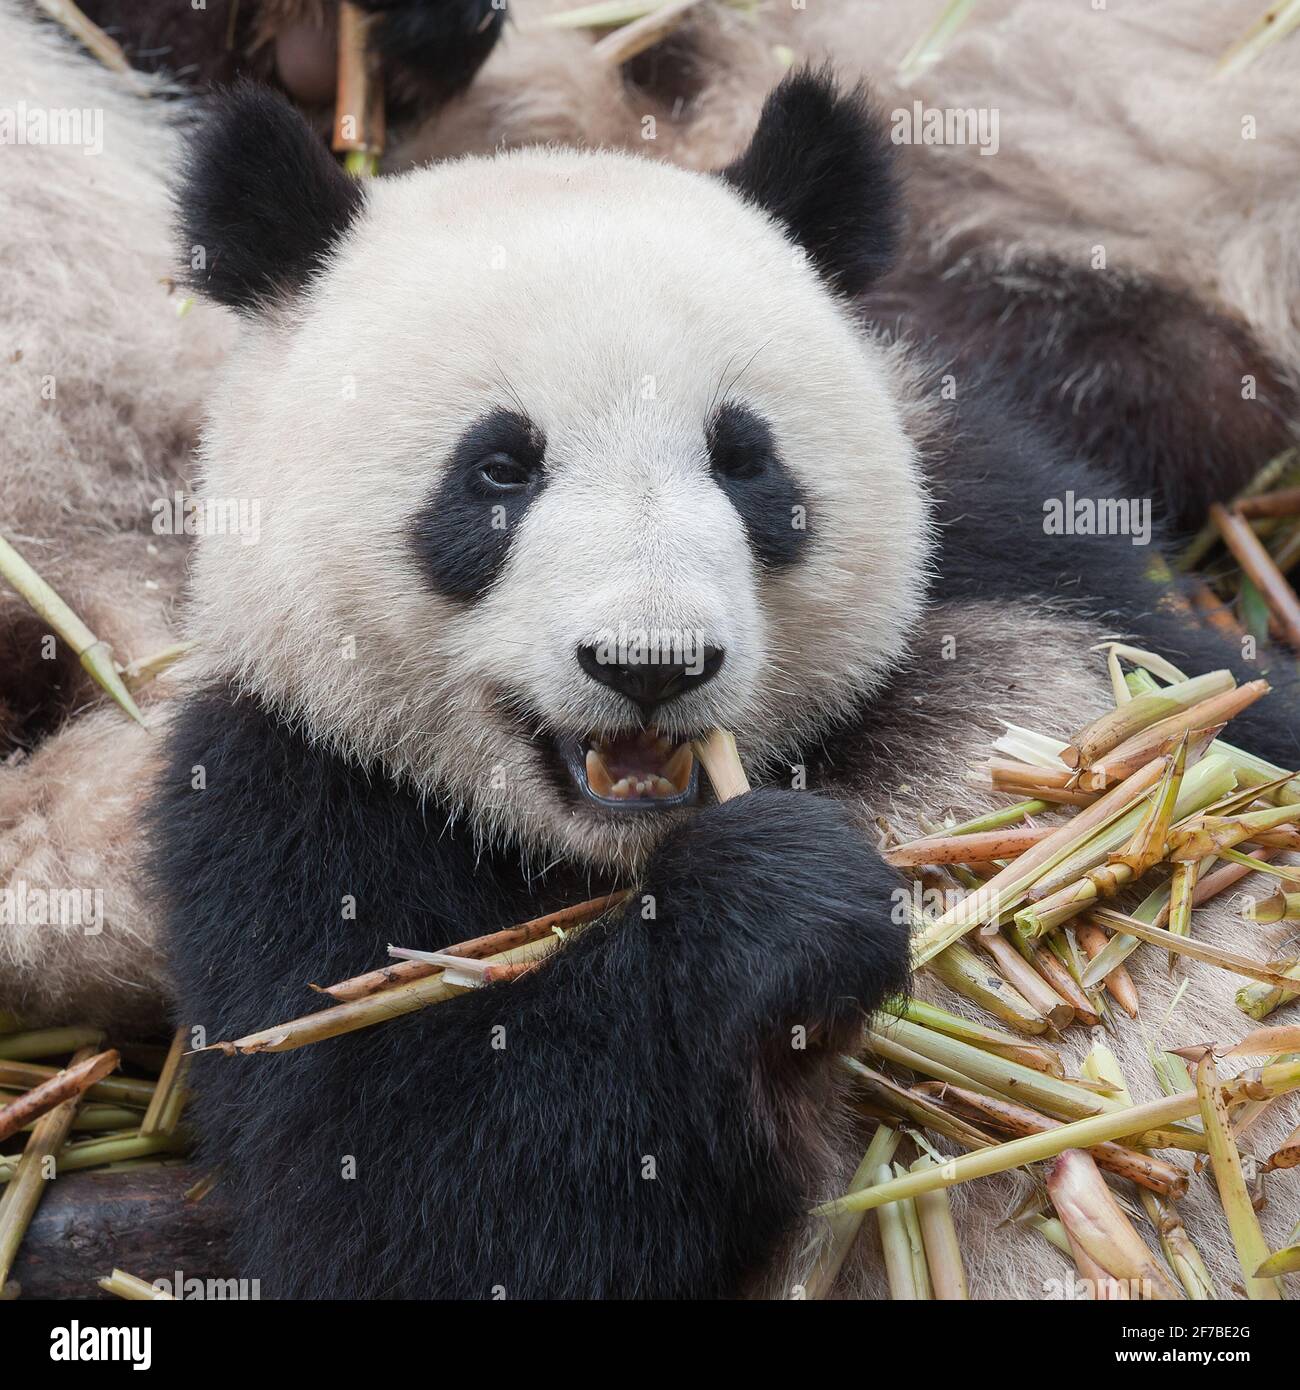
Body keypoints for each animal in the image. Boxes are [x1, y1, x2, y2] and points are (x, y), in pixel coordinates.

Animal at [147, 71, 1300, 1299]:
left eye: (744, 459)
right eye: (499, 468)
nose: (650, 664)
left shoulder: (1019, 548)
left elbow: (1222, 692)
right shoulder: (288, 806)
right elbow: (406, 1202)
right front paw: (783, 903)